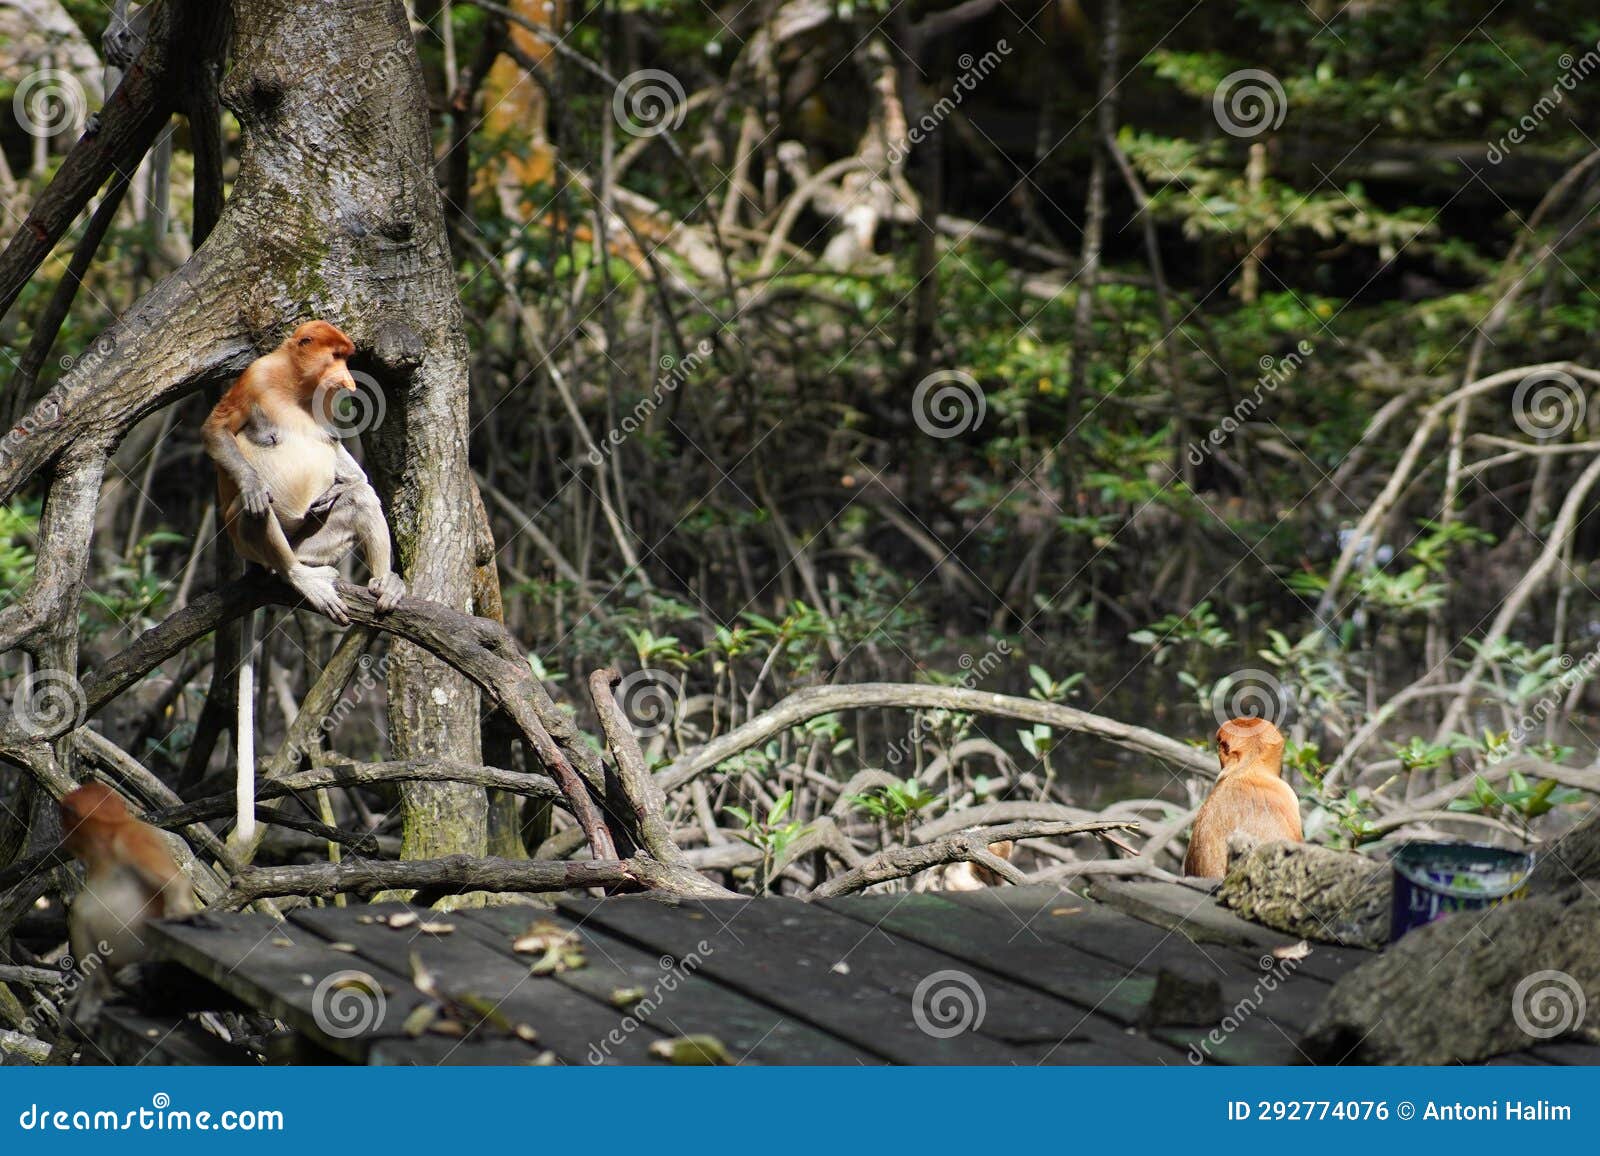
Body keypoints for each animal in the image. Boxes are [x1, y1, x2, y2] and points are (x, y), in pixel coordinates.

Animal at [202, 320, 404, 843]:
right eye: (335, 357)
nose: (348, 379)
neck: (294, 388)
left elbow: (346, 466)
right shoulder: (255, 377)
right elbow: (216, 428)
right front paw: (253, 482)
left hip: (315, 540)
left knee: (357, 496)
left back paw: (381, 581)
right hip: (251, 542)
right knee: (259, 509)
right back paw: (298, 575)